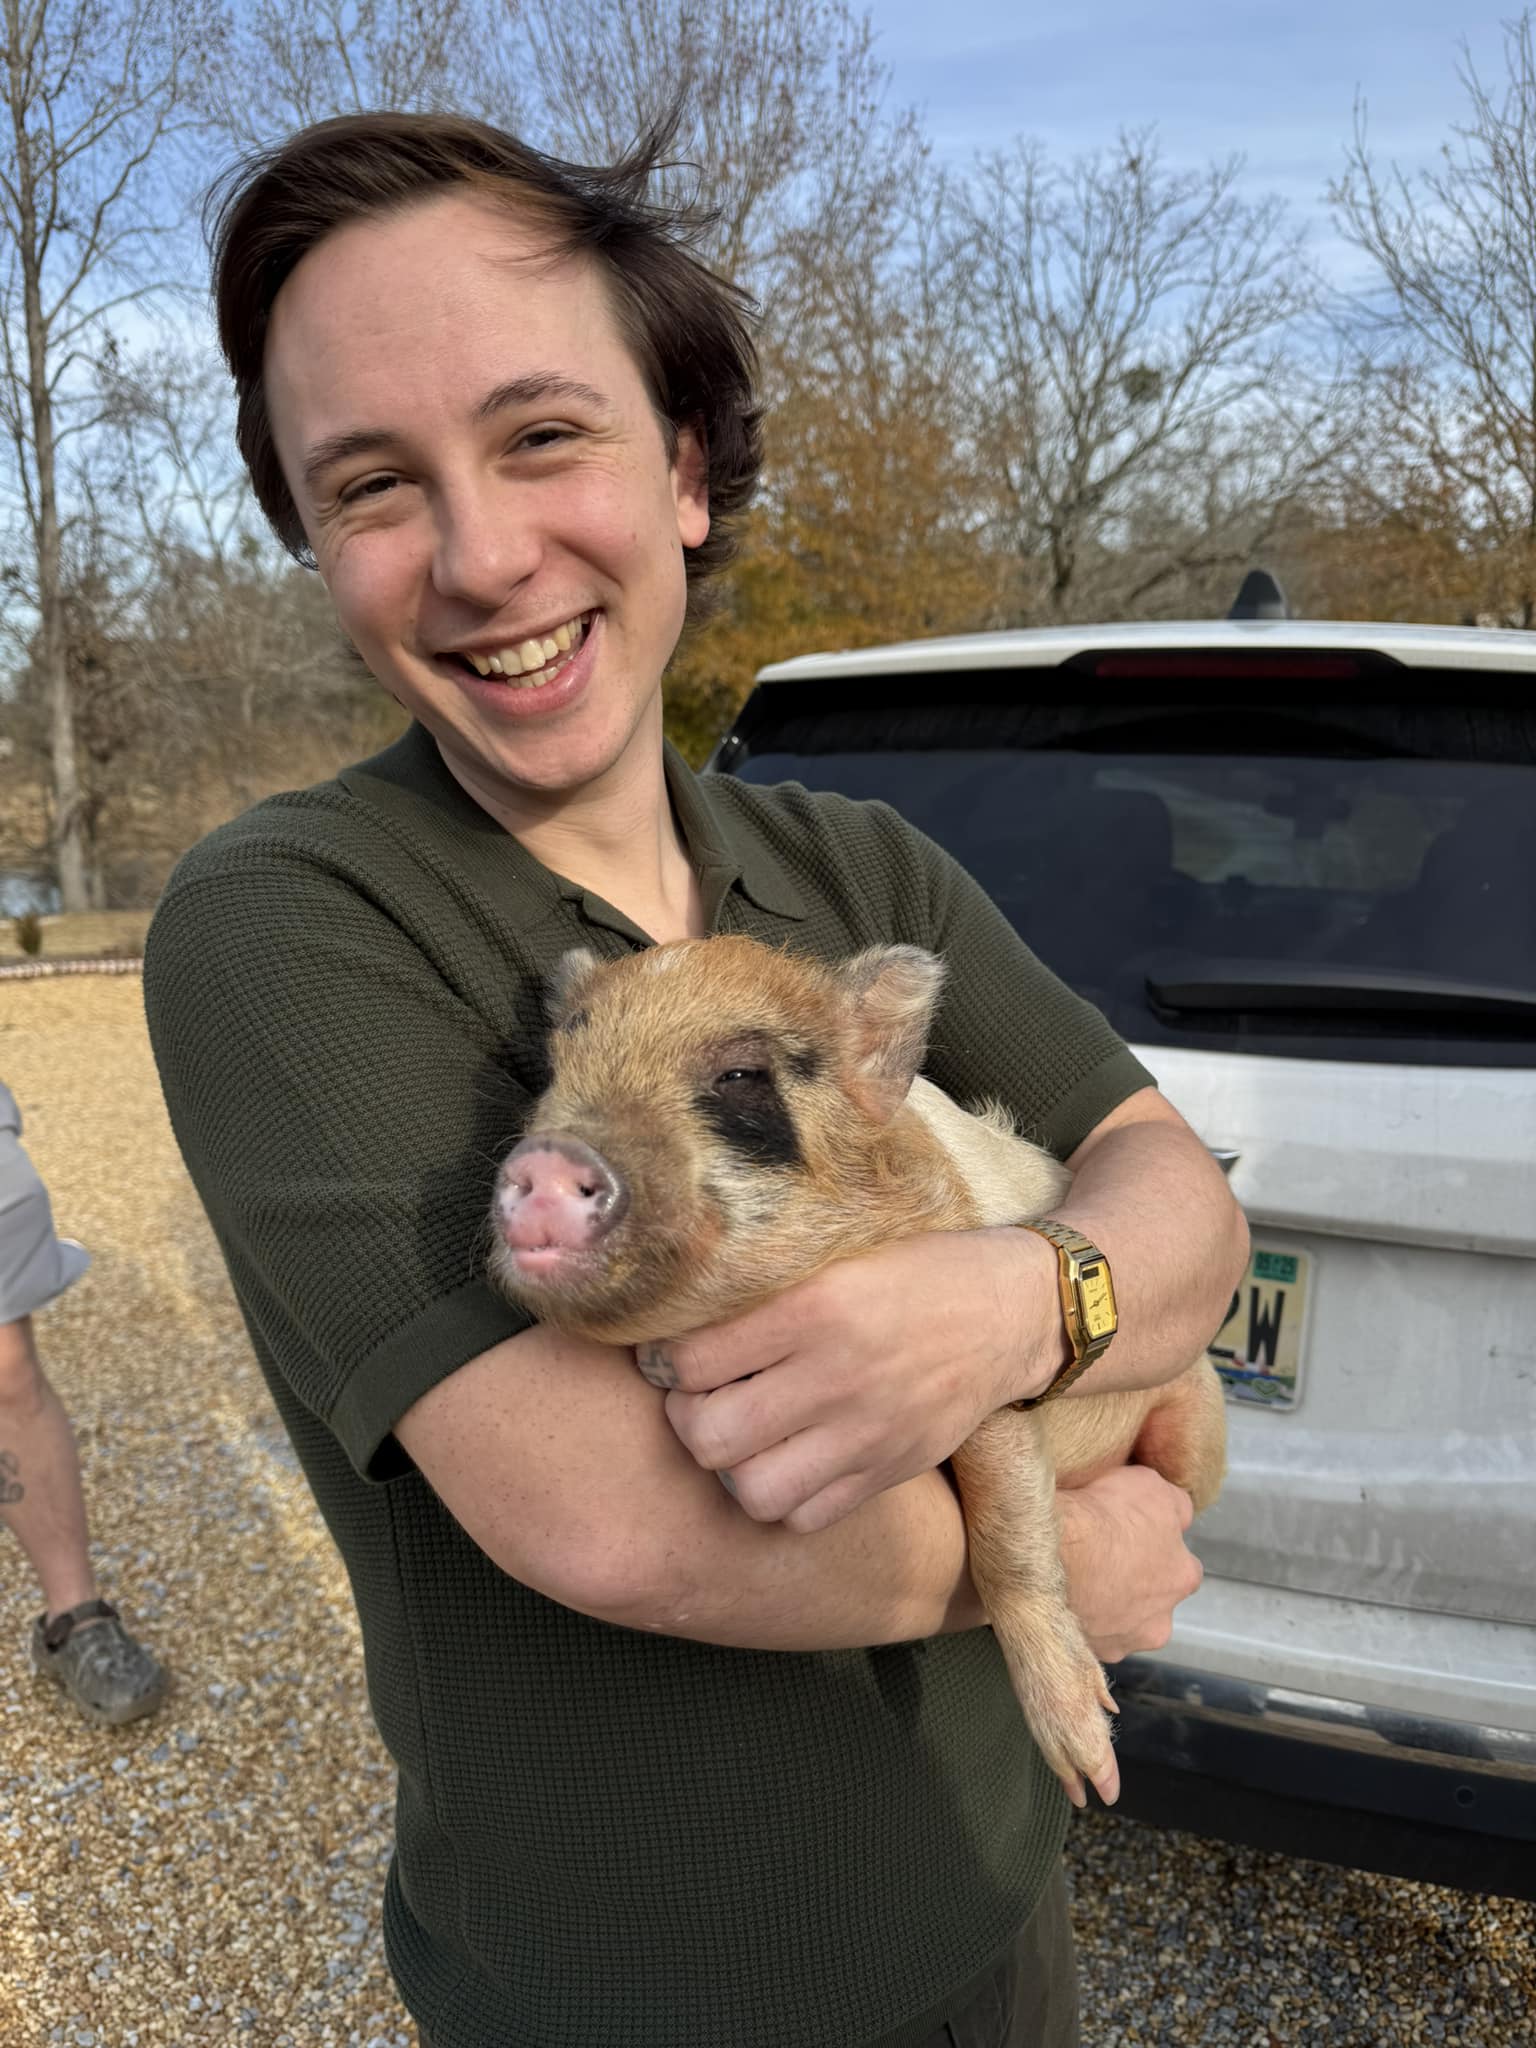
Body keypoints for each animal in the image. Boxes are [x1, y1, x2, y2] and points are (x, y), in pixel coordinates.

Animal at [487, 934, 1227, 1809]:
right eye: (560, 1064)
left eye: (741, 1076)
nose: (545, 1158)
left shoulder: (986, 1376)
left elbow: (1005, 1534)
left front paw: (1092, 1777)